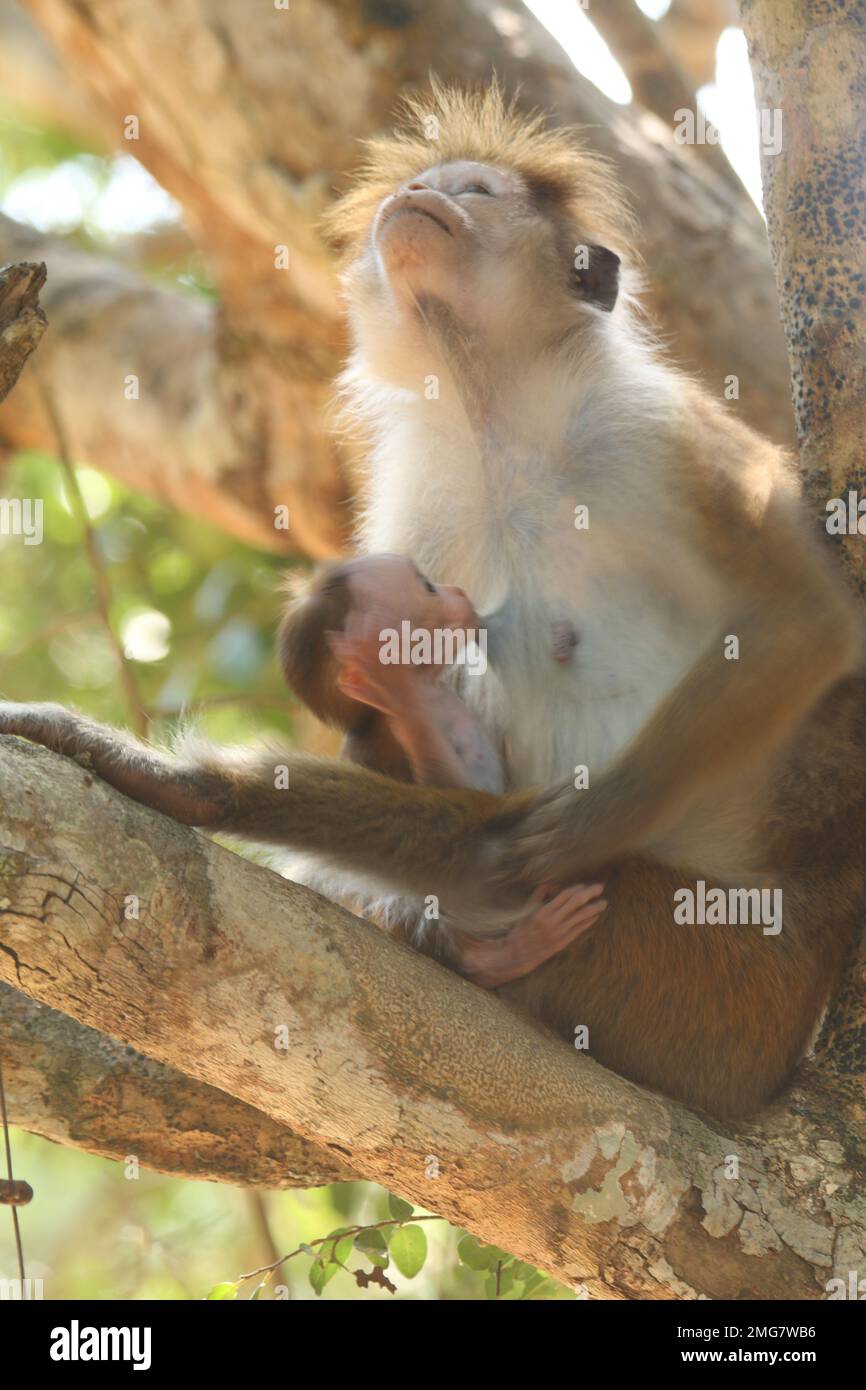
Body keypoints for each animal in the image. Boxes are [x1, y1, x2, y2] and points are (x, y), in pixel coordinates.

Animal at [277, 551, 605, 987]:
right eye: (428, 588)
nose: (458, 591)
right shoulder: (400, 742)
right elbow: (454, 808)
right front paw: (403, 699)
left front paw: (561, 642)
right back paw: (503, 957)